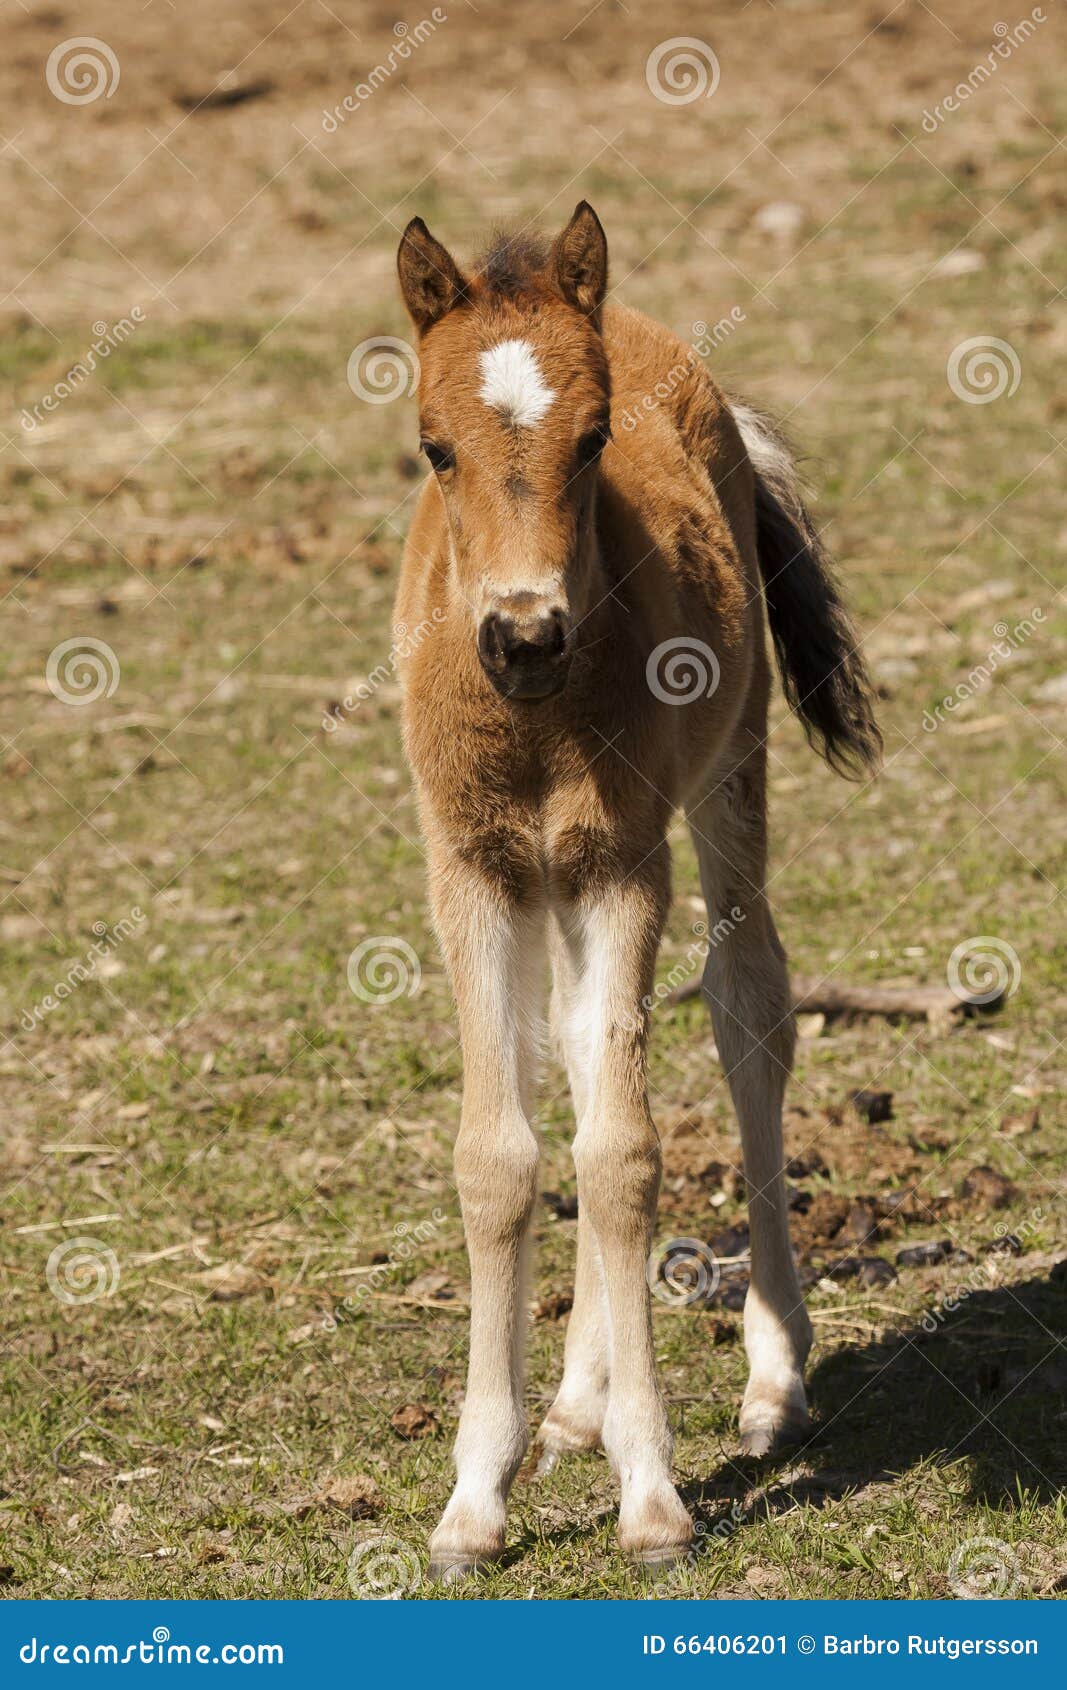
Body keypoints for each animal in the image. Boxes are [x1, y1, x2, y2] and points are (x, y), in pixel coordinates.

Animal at [392, 202, 880, 1580]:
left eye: (595, 434)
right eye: (432, 446)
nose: (524, 634)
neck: (533, 718)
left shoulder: (622, 860)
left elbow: (620, 1151)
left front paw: (653, 1494)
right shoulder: (475, 866)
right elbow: (499, 1152)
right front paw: (475, 1500)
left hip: (728, 769)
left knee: (749, 1008)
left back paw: (771, 1381)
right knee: (574, 1046)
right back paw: (572, 1405)